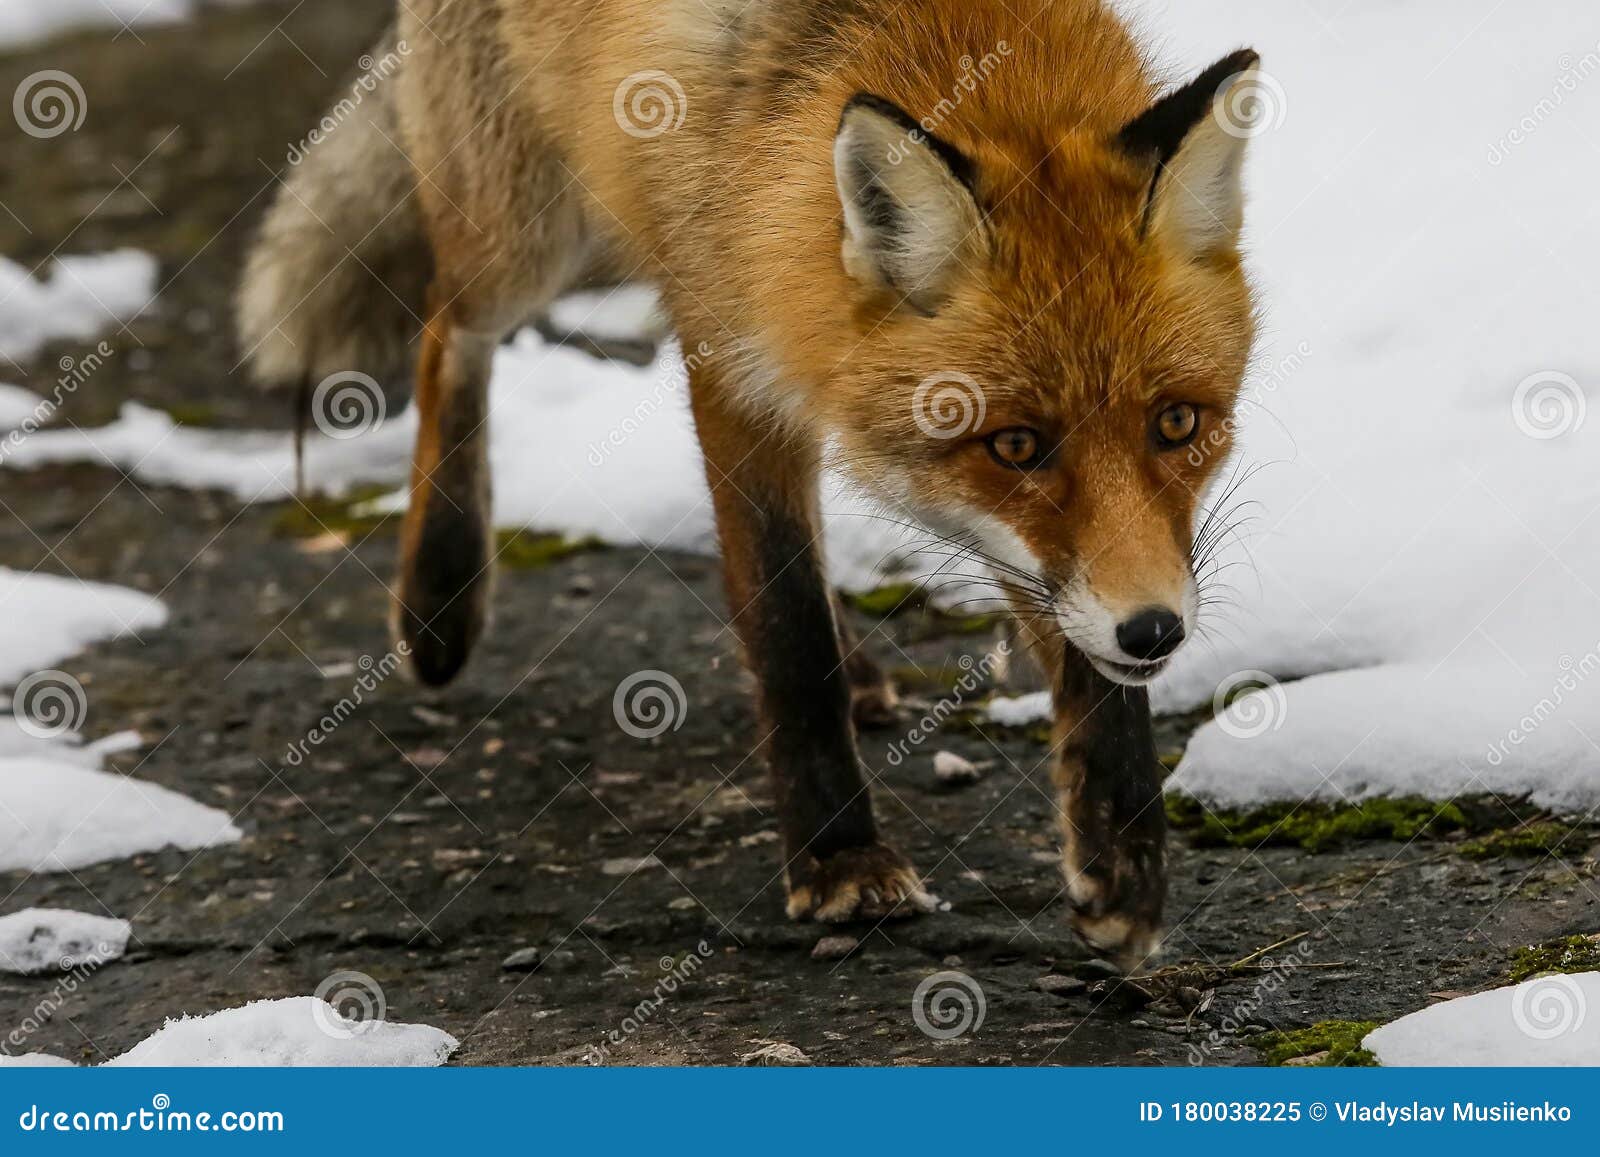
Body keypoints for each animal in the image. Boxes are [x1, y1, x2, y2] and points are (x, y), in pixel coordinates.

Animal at [238, 0, 1261, 973]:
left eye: (1178, 425)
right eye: (1016, 445)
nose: (1155, 632)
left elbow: (1079, 651)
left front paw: (1123, 855)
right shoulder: (731, 363)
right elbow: (785, 622)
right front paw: (839, 857)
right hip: (523, 232)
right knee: (446, 327)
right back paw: (440, 596)